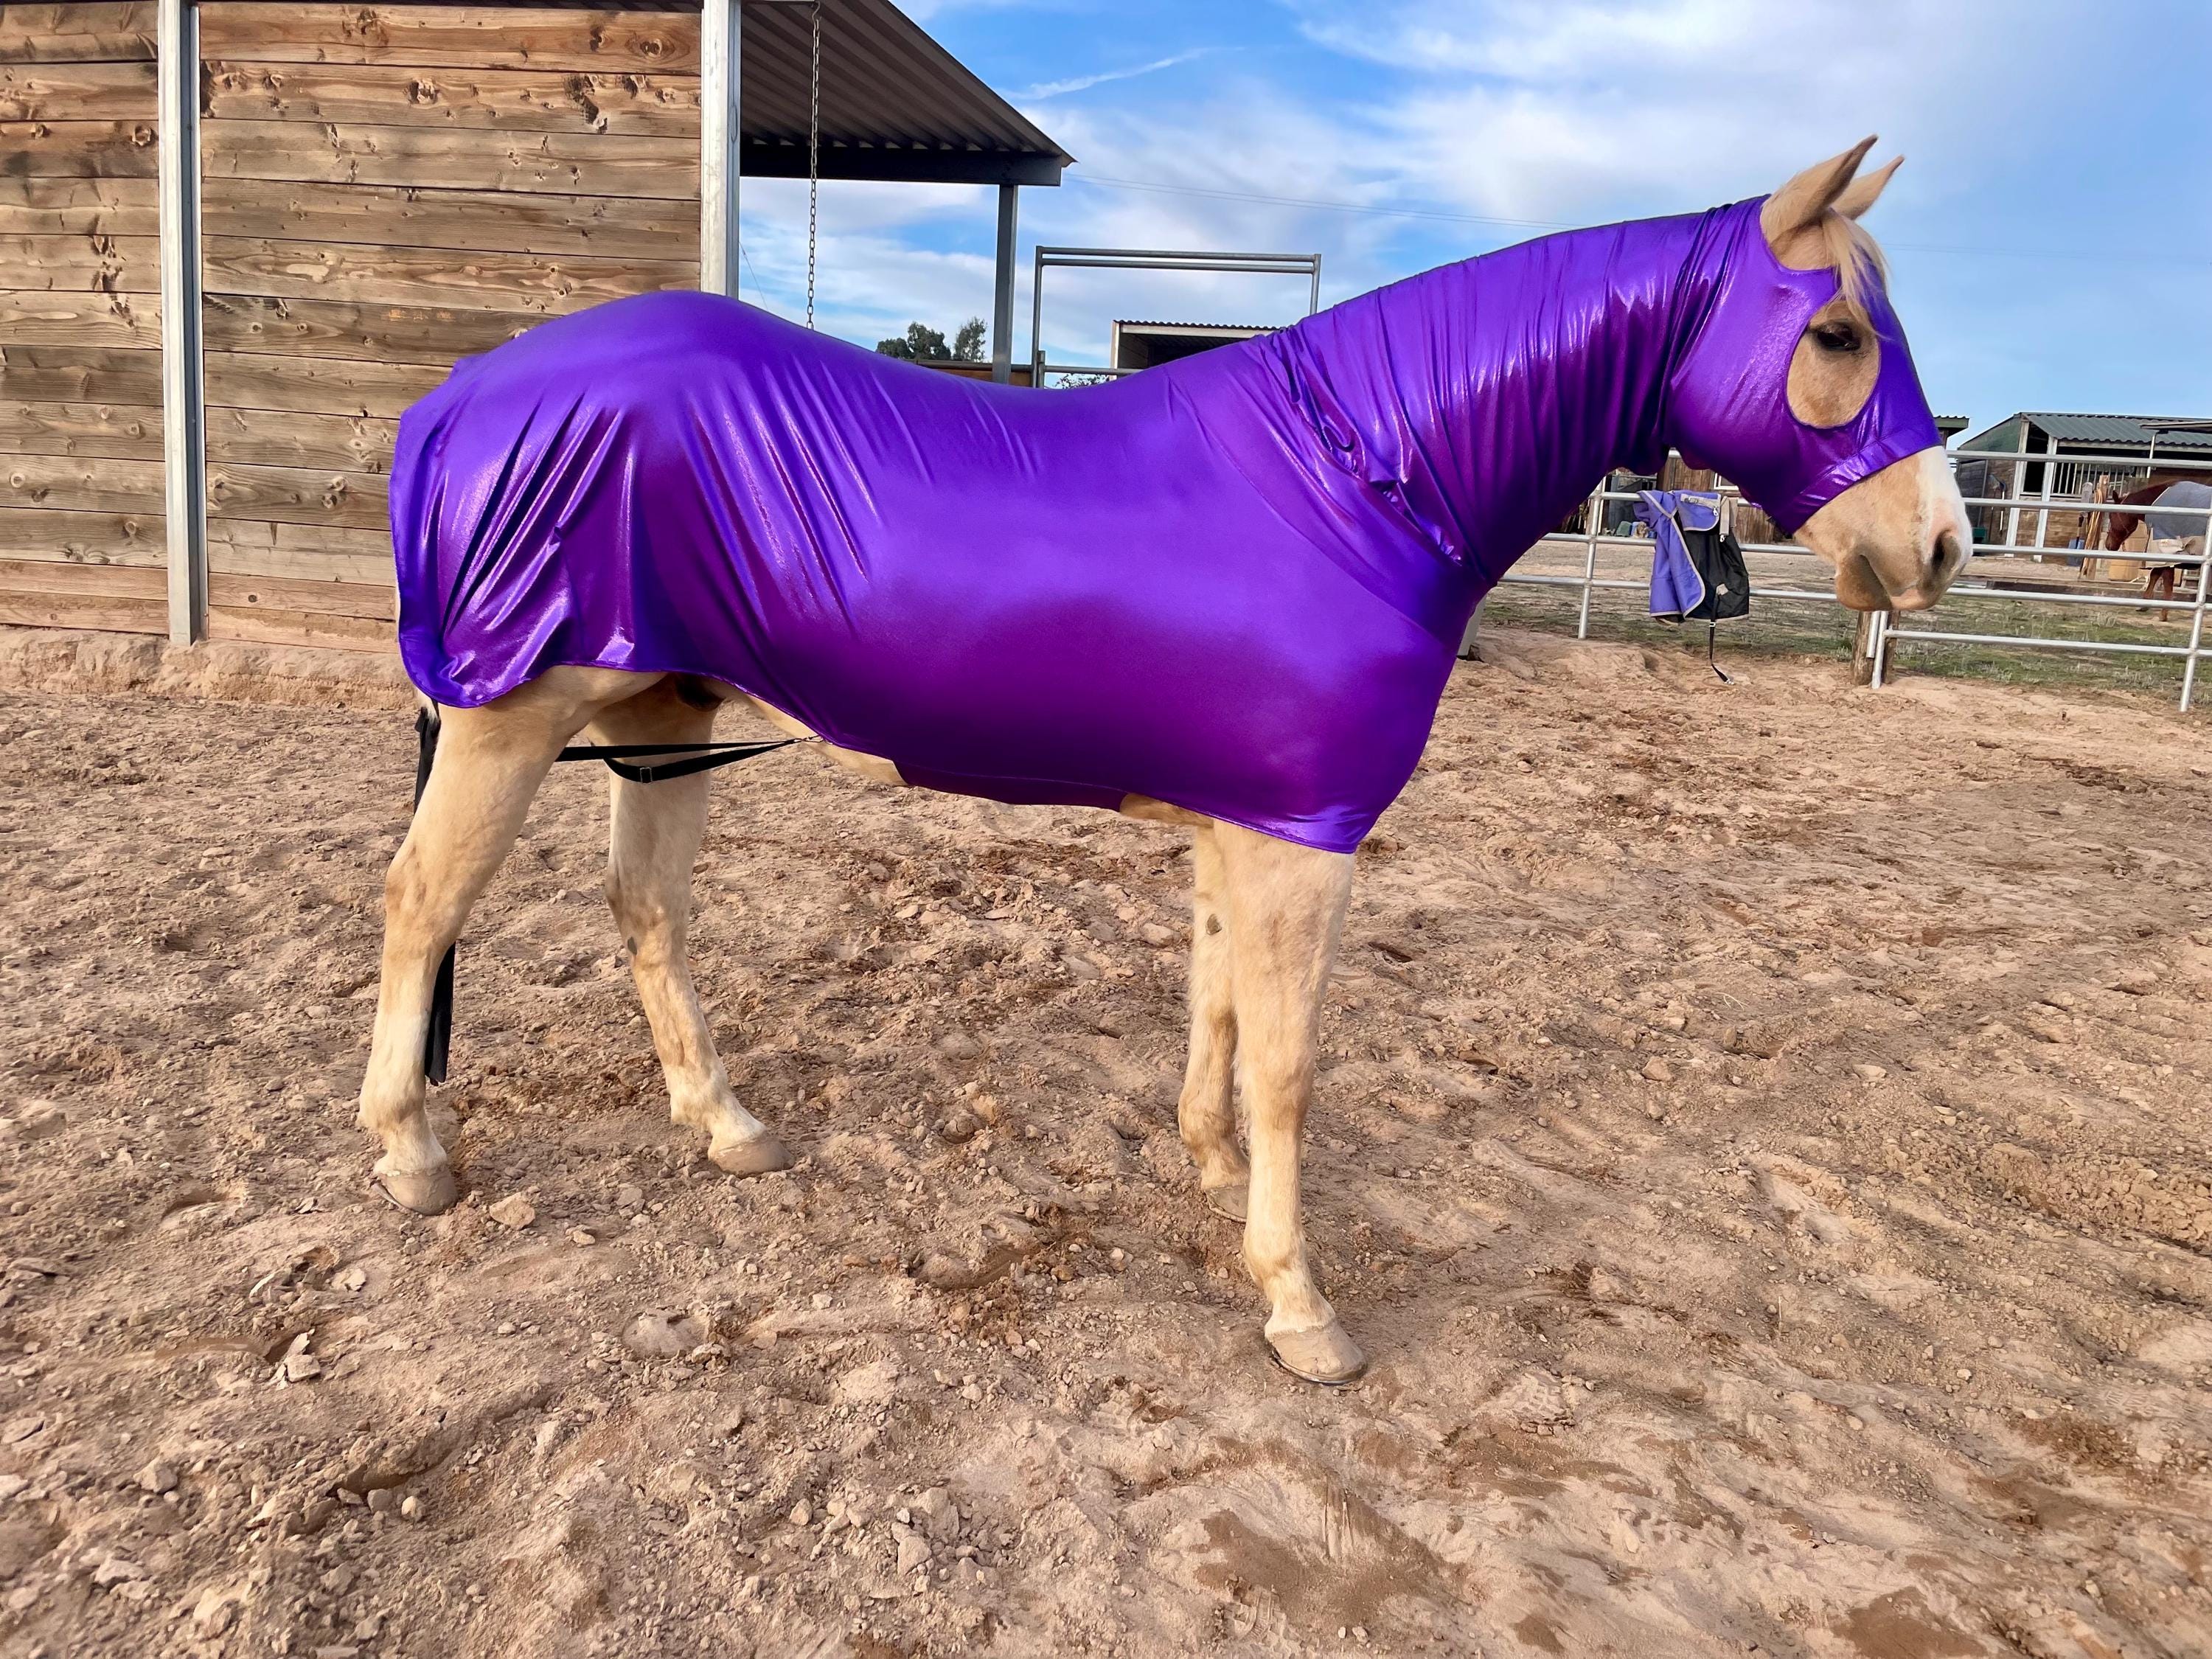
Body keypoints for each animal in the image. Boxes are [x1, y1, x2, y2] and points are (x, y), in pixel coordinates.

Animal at [359, 140, 1969, 1384]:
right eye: (1838, 335)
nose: (1941, 549)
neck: (1355, 481)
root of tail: (461, 399)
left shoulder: (1239, 821)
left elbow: (1217, 1014)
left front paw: (1206, 1168)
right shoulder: (1300, 838)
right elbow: (1291, 1066)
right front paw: (1301, 1308)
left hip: (664, 713)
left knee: (646, 913)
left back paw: (726, 1125)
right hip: (515, 715)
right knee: (423, 906)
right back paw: (414, 1156)